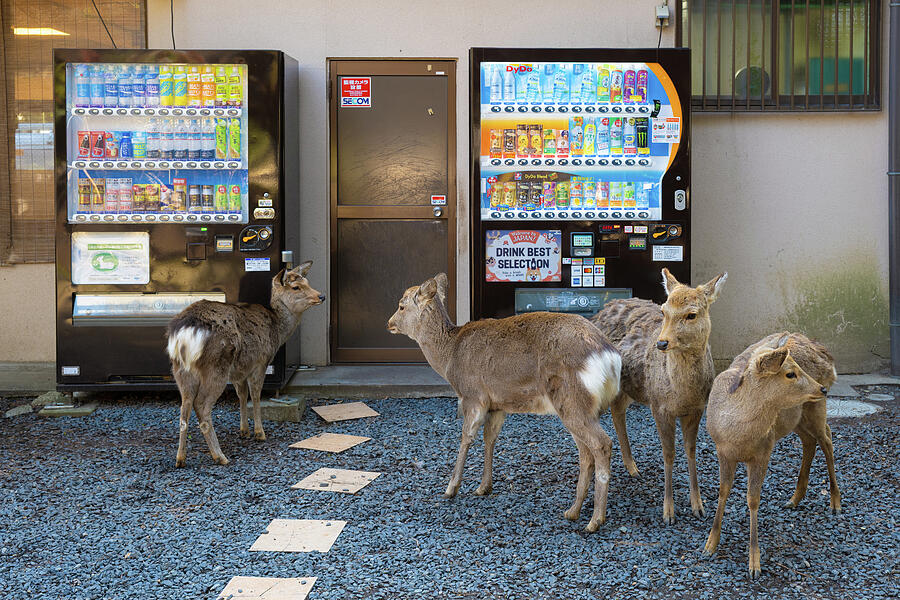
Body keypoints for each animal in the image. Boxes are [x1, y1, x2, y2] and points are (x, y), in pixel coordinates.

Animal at [166, 261, 324, 467]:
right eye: (296, 287)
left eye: (307, 281)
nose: (321, 296)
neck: (277, 331)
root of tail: (184, 334)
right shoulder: (260, 362)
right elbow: (255, 396)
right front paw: (259, 433)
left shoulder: (238, 371)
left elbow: (241, 396)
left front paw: (244, 431)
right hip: (216, 366)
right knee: (201, 405)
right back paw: (220, 456)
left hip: (181, 371)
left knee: (184, 407)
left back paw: (180, 458)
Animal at [387, 273, 622, 532]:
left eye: (401, 305)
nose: (389, 323)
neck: (449, 358)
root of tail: (610, 357)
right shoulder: (497, 405)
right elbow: (490, 438)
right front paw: (483, 487)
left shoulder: (473, 395)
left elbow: (466, 437)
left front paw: (451, 488)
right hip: (579, 407)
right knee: (586, 452)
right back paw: (572, 511)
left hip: (573, 400)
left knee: (602, 444)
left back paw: (595, 520)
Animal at [590, 268, 726, 524]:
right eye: (664, 310)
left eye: (692, 314)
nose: (661, 343)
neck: (682, 395)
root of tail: (599, 312)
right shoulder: (659, 406)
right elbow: (668, 454)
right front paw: (668, 512)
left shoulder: (697, 409)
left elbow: (690, 450)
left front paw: (699, 506)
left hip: (630, 387)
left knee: (617, 410)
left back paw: (632, 468)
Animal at [703, 332, 839, 579]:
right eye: (790, 373)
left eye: (796, 368)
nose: (821, 389)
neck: (738, 436)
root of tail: (826, 355)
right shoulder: (722, 451)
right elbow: (723, 491)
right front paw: (710, 545)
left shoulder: (763, 452)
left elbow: (753, 499)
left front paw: (754, 564)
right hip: (797, 418)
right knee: (811, 441)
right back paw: (794, 499)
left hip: (815, 409)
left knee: (827, 439)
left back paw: (835, 502)